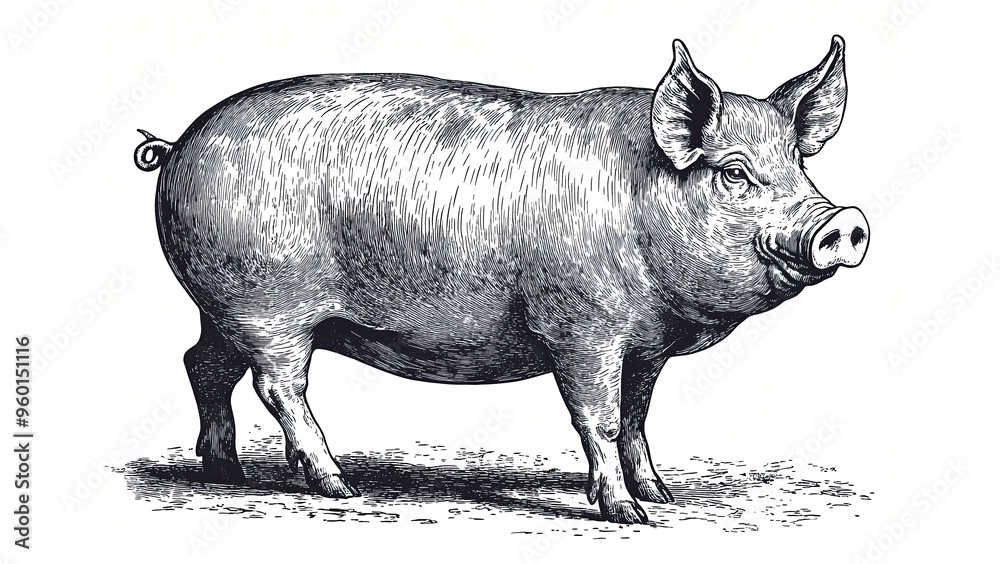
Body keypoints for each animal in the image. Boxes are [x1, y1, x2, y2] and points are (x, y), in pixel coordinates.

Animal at [133, 36, 868, 524]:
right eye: (735, 172)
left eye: (800, 162)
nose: (843, 220)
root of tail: (178, 147)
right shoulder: (584, 328)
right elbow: (599, 418)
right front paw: (628, 516)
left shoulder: (646, 346)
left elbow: (637, 417)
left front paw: (663, 496)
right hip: (269, 307)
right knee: (279, 386)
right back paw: (339, 486)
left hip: (221, 308)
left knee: (200, 363)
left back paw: (225, 469)